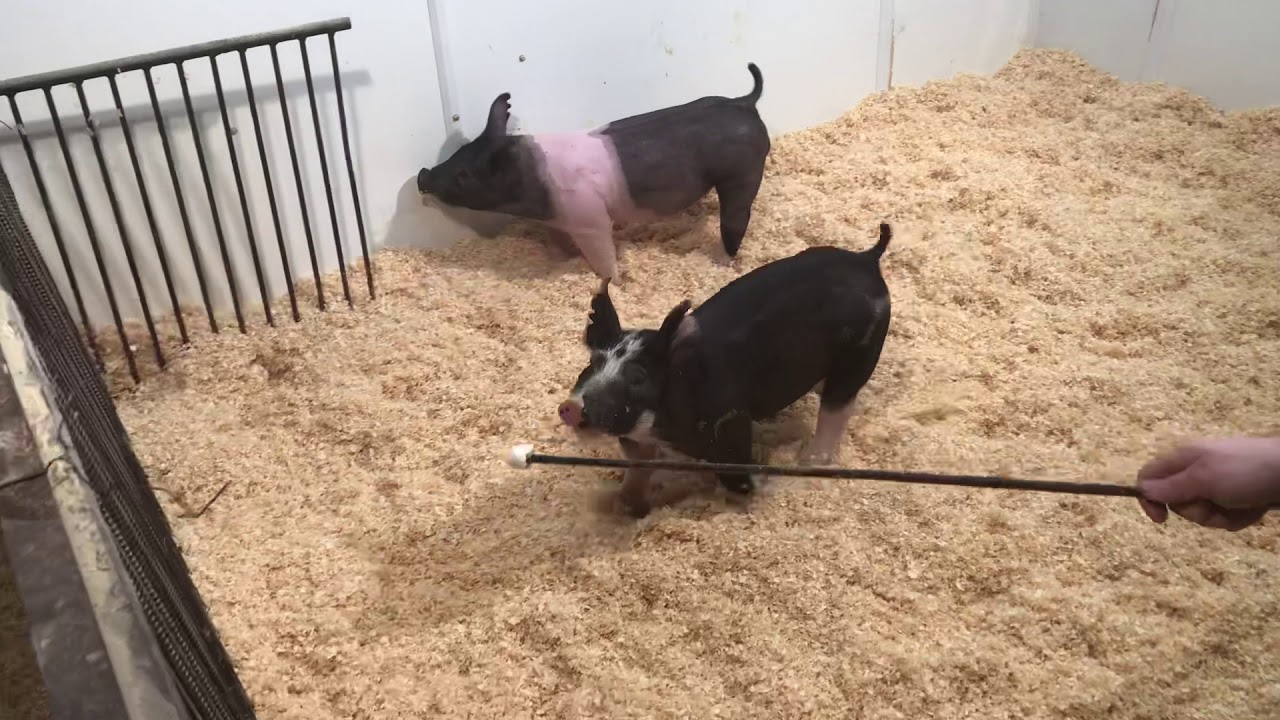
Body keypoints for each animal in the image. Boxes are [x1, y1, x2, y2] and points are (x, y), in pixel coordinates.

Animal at [416, 64, 771, 281]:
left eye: (463, 175)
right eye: (458, 153)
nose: (422, 175)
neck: (535, 180)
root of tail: (744, 103)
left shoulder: (590, 219)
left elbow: (603, 255)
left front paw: (613, 280)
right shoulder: (556, 220)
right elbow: (558, 243)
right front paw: (562, 261)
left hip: (744, 172)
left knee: (737, 219)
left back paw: (722, 262)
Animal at [557, 223, 894, 518]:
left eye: (638, 375)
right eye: (593, 362)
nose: (570, 407)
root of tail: (867, 259)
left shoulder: (731, 426)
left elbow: (739, 479)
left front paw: (760, 491)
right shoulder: (639, 443)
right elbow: (639, 470)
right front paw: (623, 508)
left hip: (860, 356)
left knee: (838, 408)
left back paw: (808, 463)